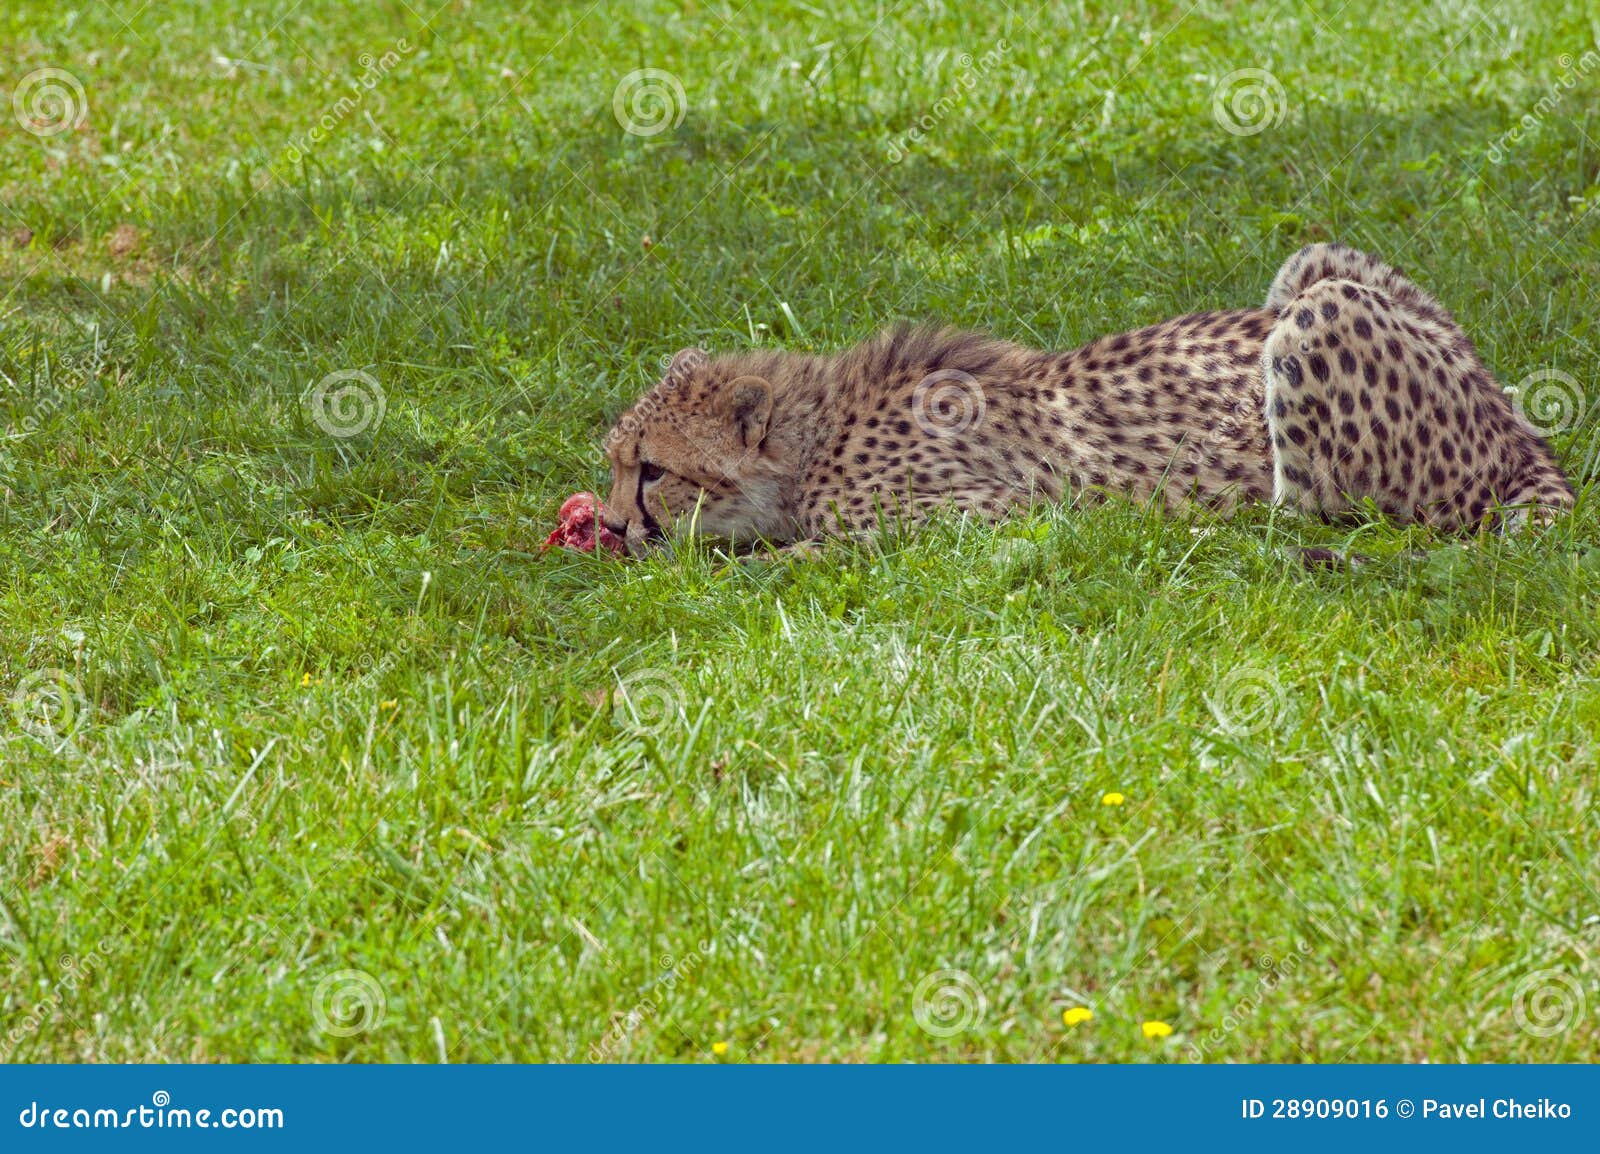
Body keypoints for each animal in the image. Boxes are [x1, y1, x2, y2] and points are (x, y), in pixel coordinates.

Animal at [600, 244, 1574, 556]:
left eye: (652, 471)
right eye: (612, 465)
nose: (607, 525)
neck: (812, 436)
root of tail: (1519, 429)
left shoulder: (991, 515)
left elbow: (814, 555)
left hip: (1319, 316)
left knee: (1324, 515)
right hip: (1315, 264)